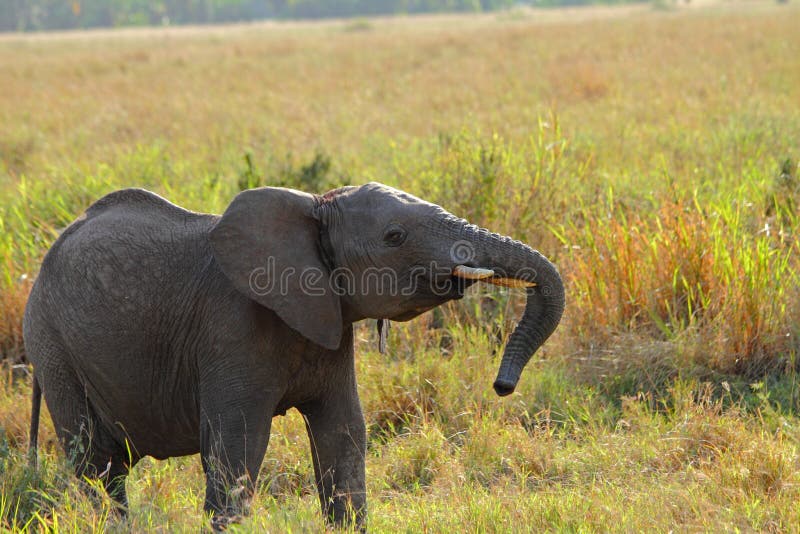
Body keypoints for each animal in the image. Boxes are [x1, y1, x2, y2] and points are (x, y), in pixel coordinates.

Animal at [24, 182, 564, 529]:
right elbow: (237, 446)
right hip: (54, 348)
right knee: (97, 467)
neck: (315, 207)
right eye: (394, 237)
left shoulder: (331, 322)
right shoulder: (231, 329)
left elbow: (344, 433)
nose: (502, 386)